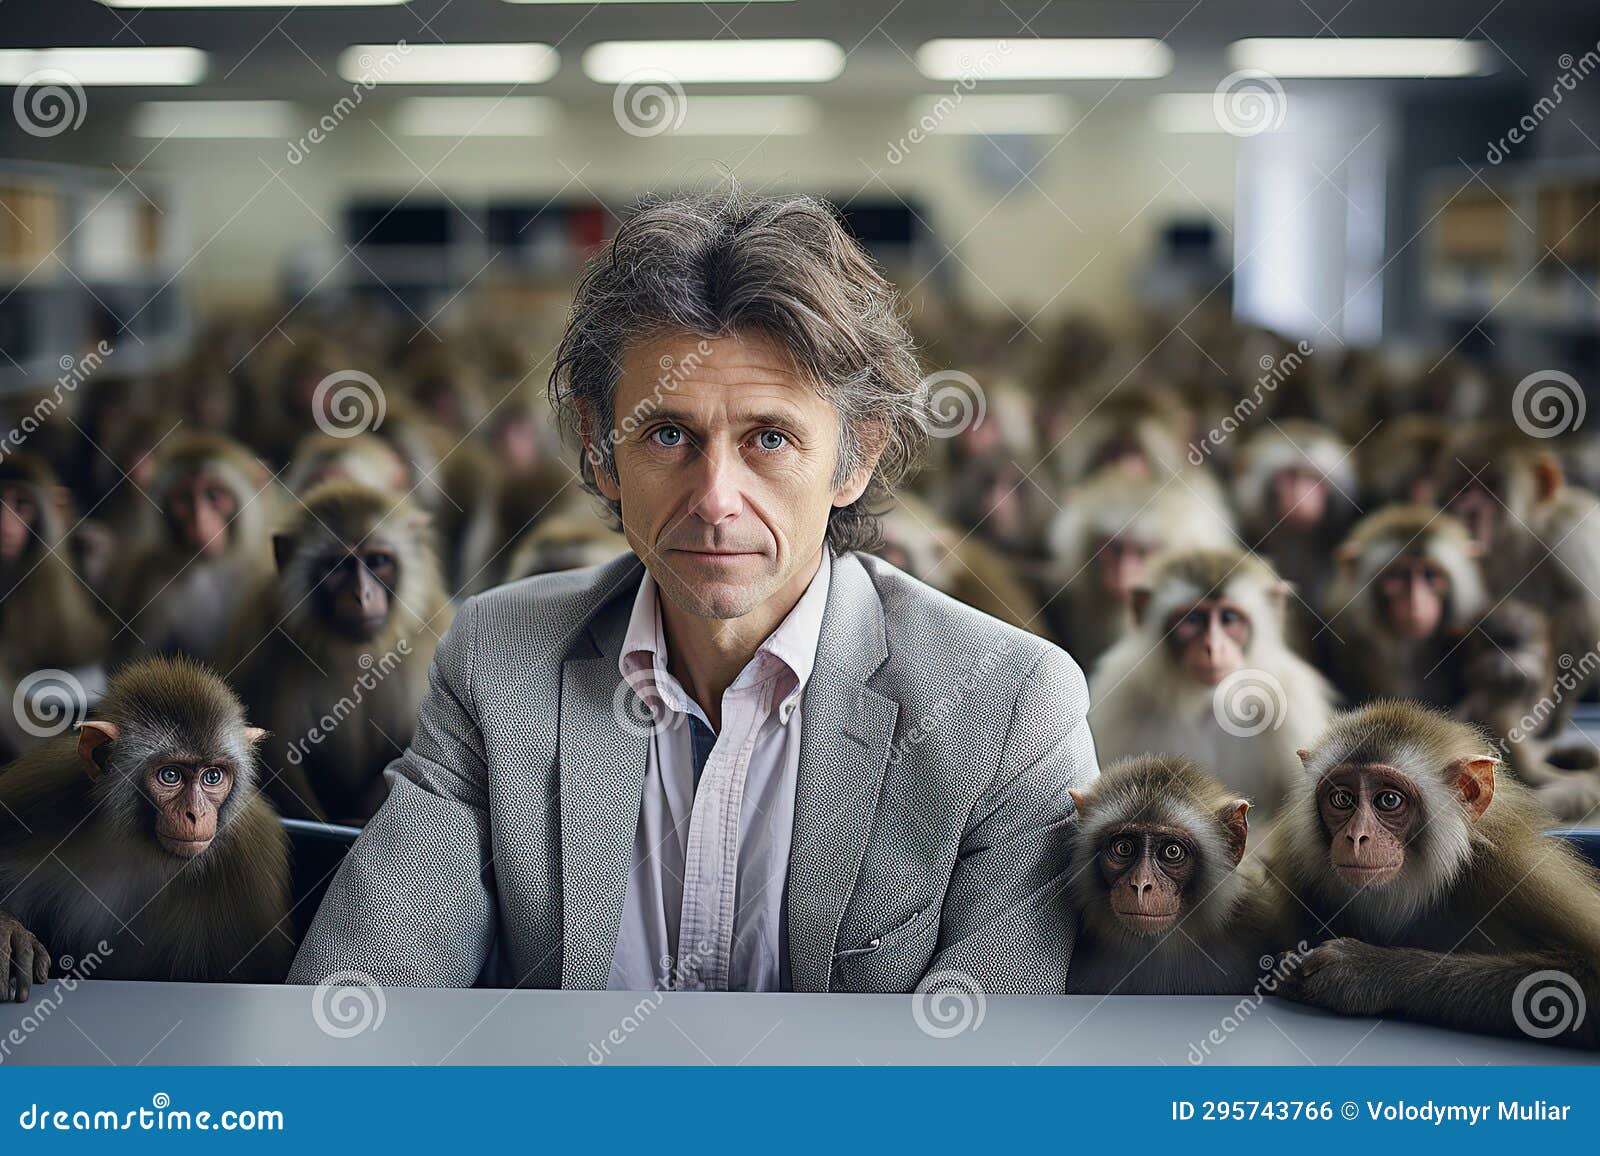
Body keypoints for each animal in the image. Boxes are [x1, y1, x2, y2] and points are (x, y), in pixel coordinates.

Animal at [0, 656, 292, 999]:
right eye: (170, 775)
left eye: (213, 776)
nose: (195, 814)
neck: (141, 844)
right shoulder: (41, 795)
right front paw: (9, 934)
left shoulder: (249, 855)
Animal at [1089, 549, 1337, 819]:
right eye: (1193, 619)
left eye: (1229, 618)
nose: (1213, 648)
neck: (1206, 702)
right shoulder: (1122, 697)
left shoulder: (1292, 700)